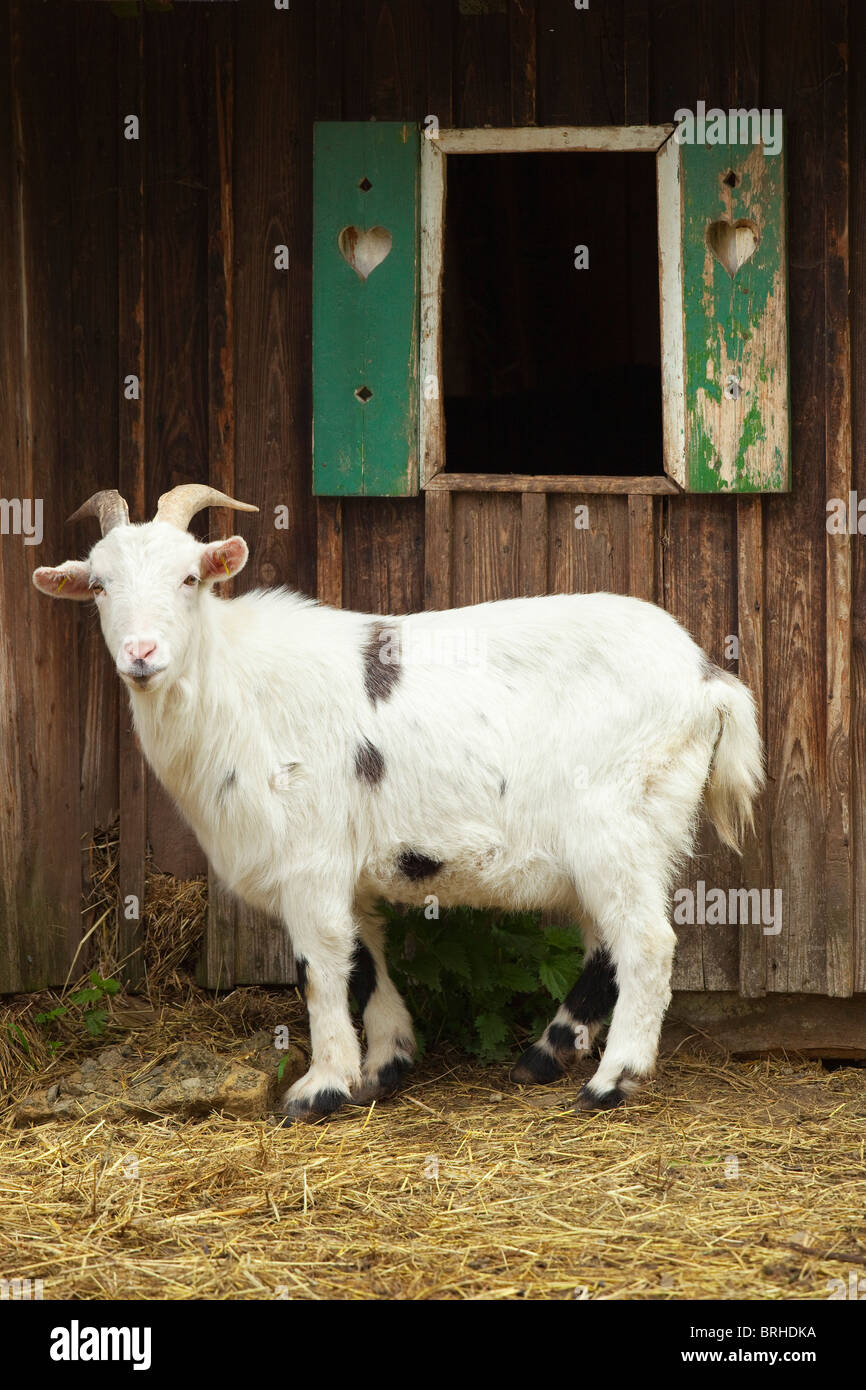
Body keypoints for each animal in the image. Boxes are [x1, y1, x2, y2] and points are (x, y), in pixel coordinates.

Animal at [34, 486, 764, 1120]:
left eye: (190, 578)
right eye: (98, 584)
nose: (142, 654)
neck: (240, 687)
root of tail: (707, 679)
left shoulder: (310, 859)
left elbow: (320, 966)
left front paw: (320, 1088)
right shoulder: (348, 867)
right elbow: (362, 960)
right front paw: (385, 1066)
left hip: (620, 825)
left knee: (646, 943)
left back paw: (611, 1082)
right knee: (606, 945)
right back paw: (543, 1056)